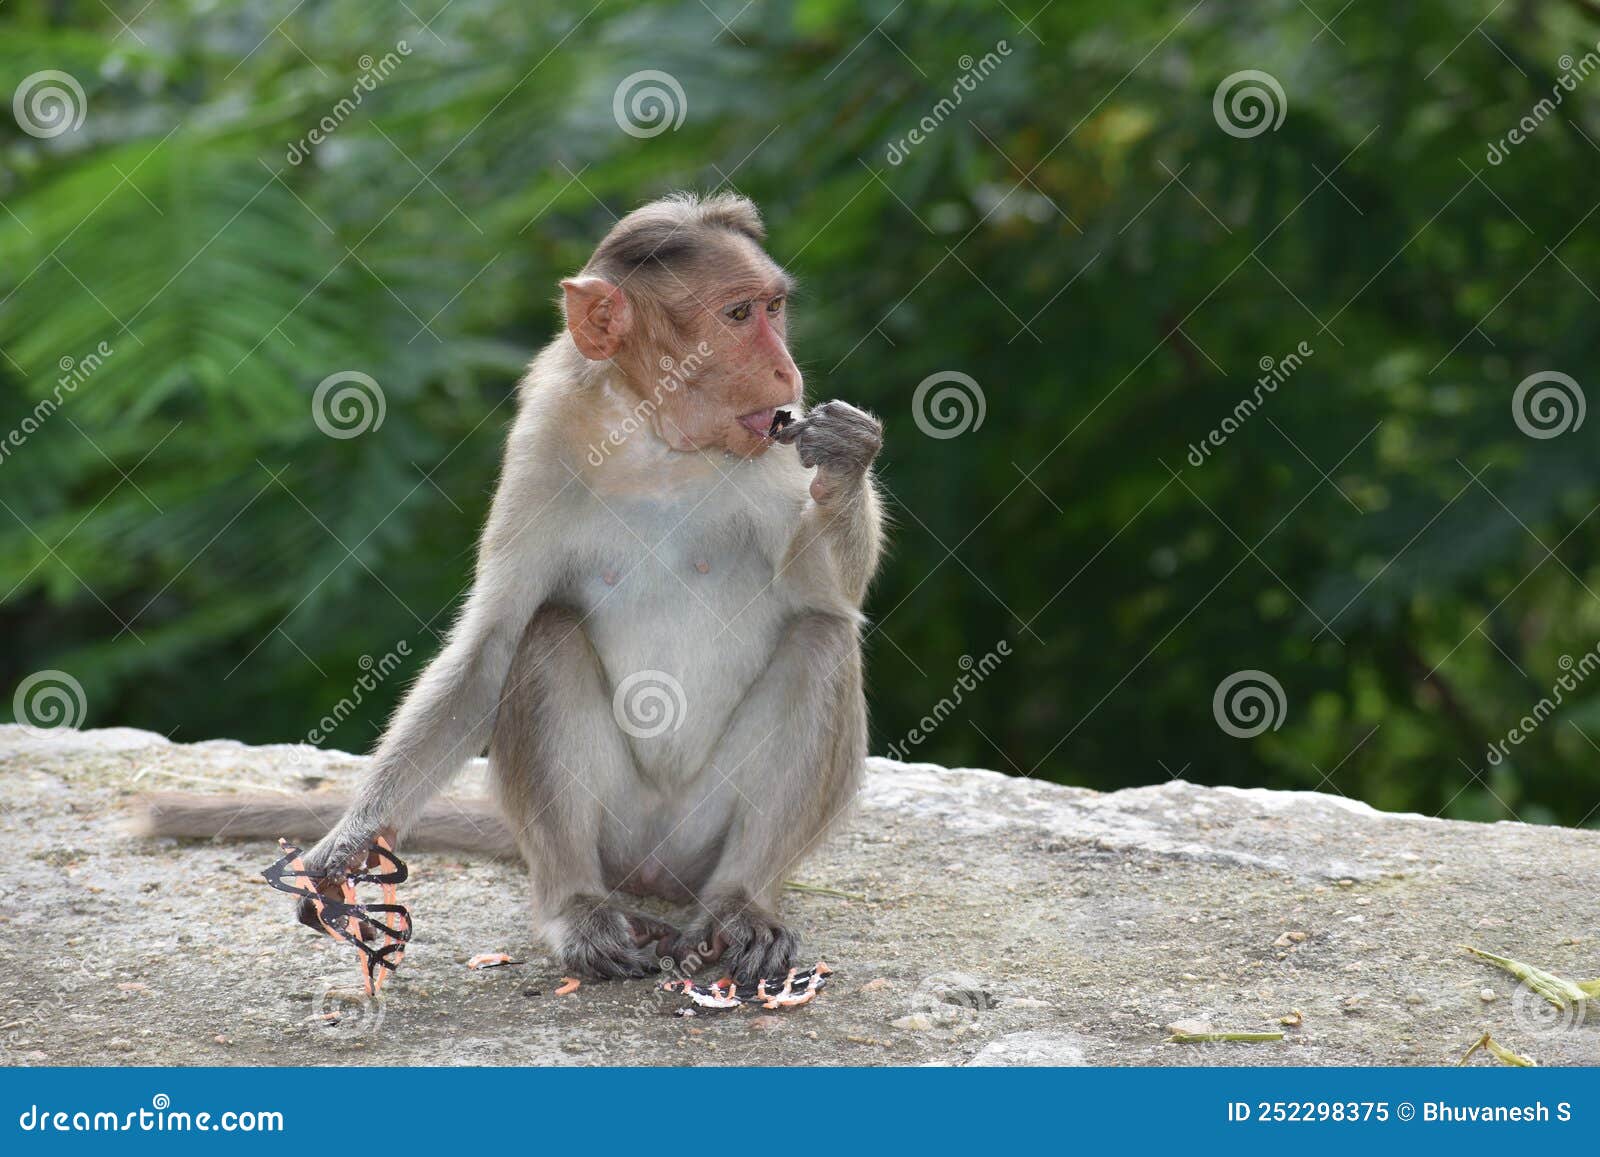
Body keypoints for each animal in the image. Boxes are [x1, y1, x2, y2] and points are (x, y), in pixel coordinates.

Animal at [140, 192, 885, 986]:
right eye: (739, 315)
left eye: (775, 308)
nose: (784, 370)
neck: (655, 441)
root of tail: (655, 871)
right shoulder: (541, 441)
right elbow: (492, 642)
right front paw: (350, 840)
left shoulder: (772, 446)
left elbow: (827, 595)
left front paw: (846, 458)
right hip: (618, 830)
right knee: (547, 633)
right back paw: (578, 908)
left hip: (702, 830)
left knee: (821, 638)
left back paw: (740, 903)